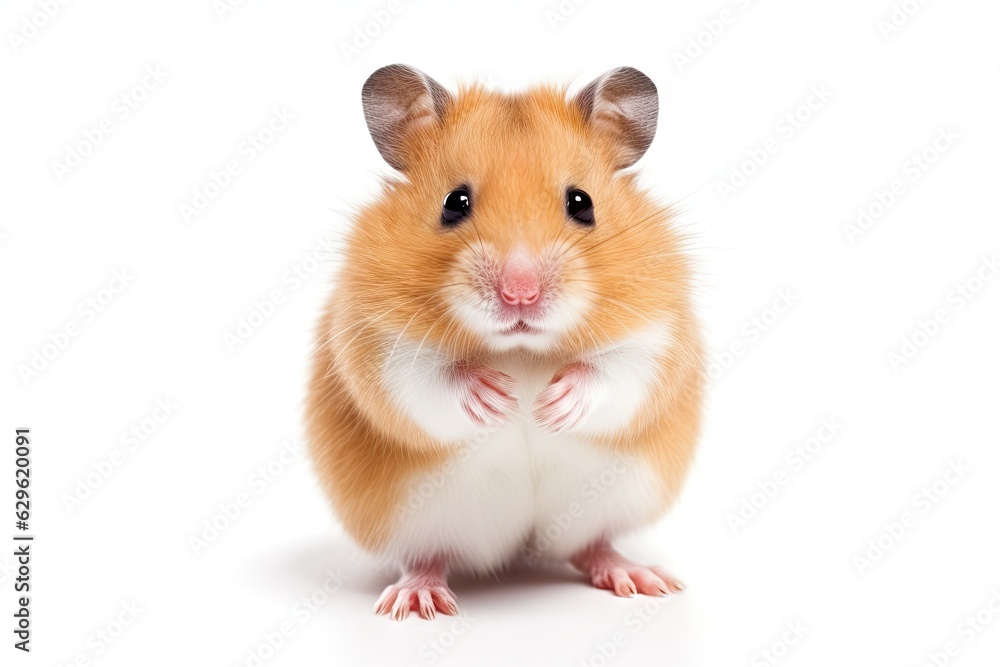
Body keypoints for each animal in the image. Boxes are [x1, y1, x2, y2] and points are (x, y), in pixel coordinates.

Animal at [307, 64, 703, 620]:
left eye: (581, 202)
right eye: (454, 203)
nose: (521, 293)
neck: (521, 349)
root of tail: (522, 547)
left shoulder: (659, 334)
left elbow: (615, 372)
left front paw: (549, 406)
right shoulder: (374, 341)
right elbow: (425, 377)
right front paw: (499, 399)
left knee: (590, 545)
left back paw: (642, 578)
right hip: (415, 519)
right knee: (428, 556)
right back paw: (417, 598)